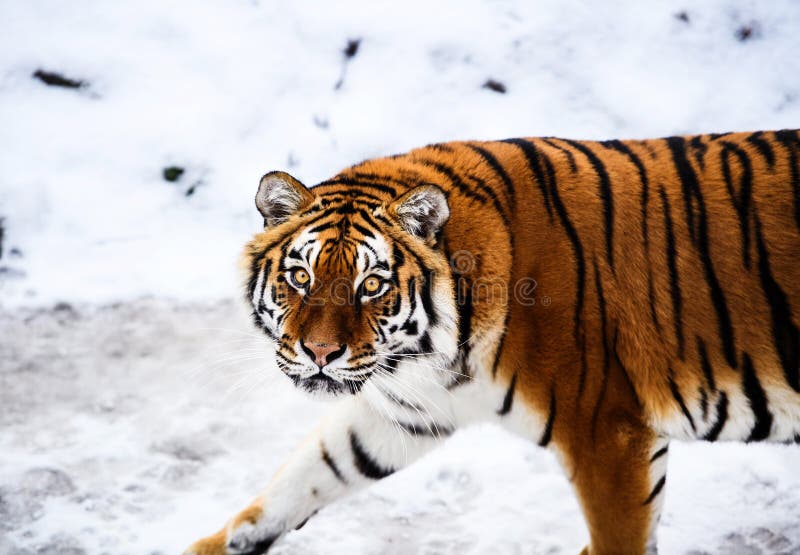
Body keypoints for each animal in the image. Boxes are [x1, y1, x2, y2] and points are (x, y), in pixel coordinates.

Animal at [184, 130, 800, 555]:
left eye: (372, 285)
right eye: (300, 277)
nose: (319, 354)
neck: (429, 358)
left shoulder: (609, 436)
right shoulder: (405, 413)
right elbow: (312, 471)